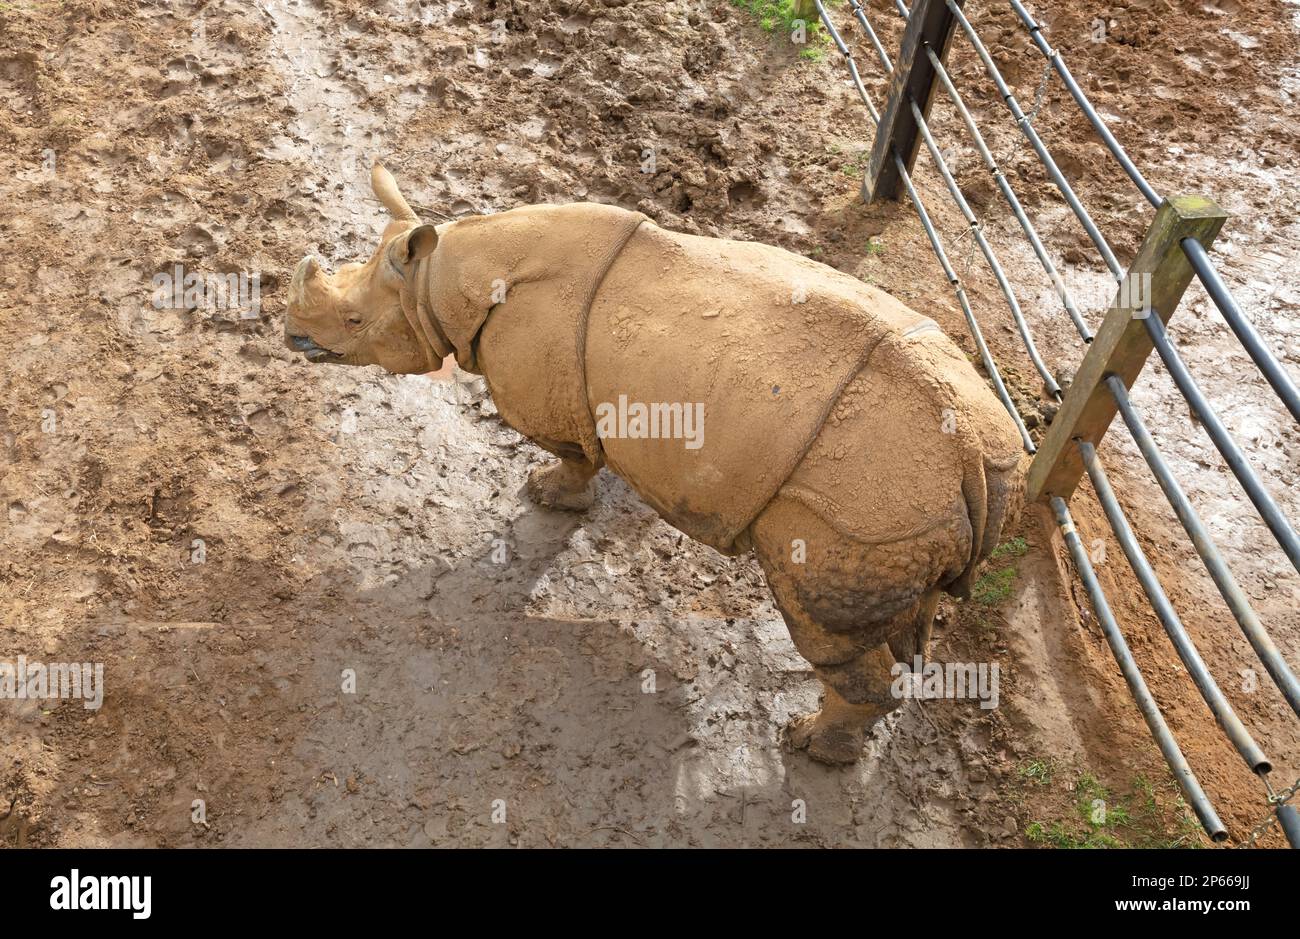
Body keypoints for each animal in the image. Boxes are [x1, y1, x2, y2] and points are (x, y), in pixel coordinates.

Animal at [286, 164, 1025, 763]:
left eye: (352, 323)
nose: (291, 337)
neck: (441, 278)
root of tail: (970, 458)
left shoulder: (551, 401)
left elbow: (571, 455)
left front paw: (544, 494)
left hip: (862, 506)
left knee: (822, 627)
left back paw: (808, 748)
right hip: (931, 495)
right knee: (905, 617)